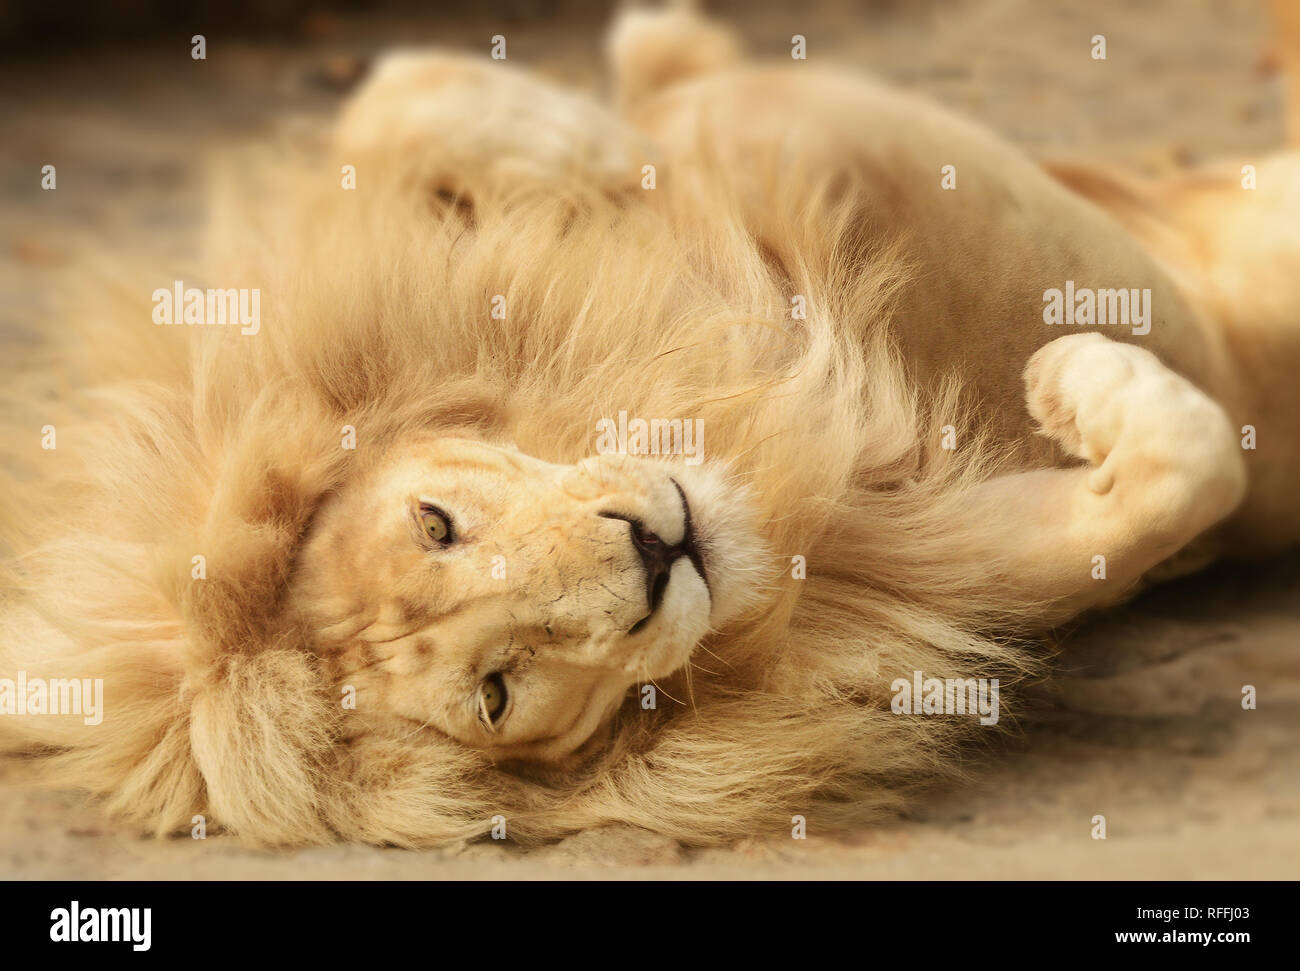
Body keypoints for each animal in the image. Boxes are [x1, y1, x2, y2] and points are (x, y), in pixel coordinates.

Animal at [1, 6, 1297, 848]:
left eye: (437, 520)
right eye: (496, 690)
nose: (651, 553)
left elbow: (401, 115)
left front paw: (577, 136)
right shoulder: (965, 554)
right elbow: (1178, 472)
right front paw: (1073, 376)